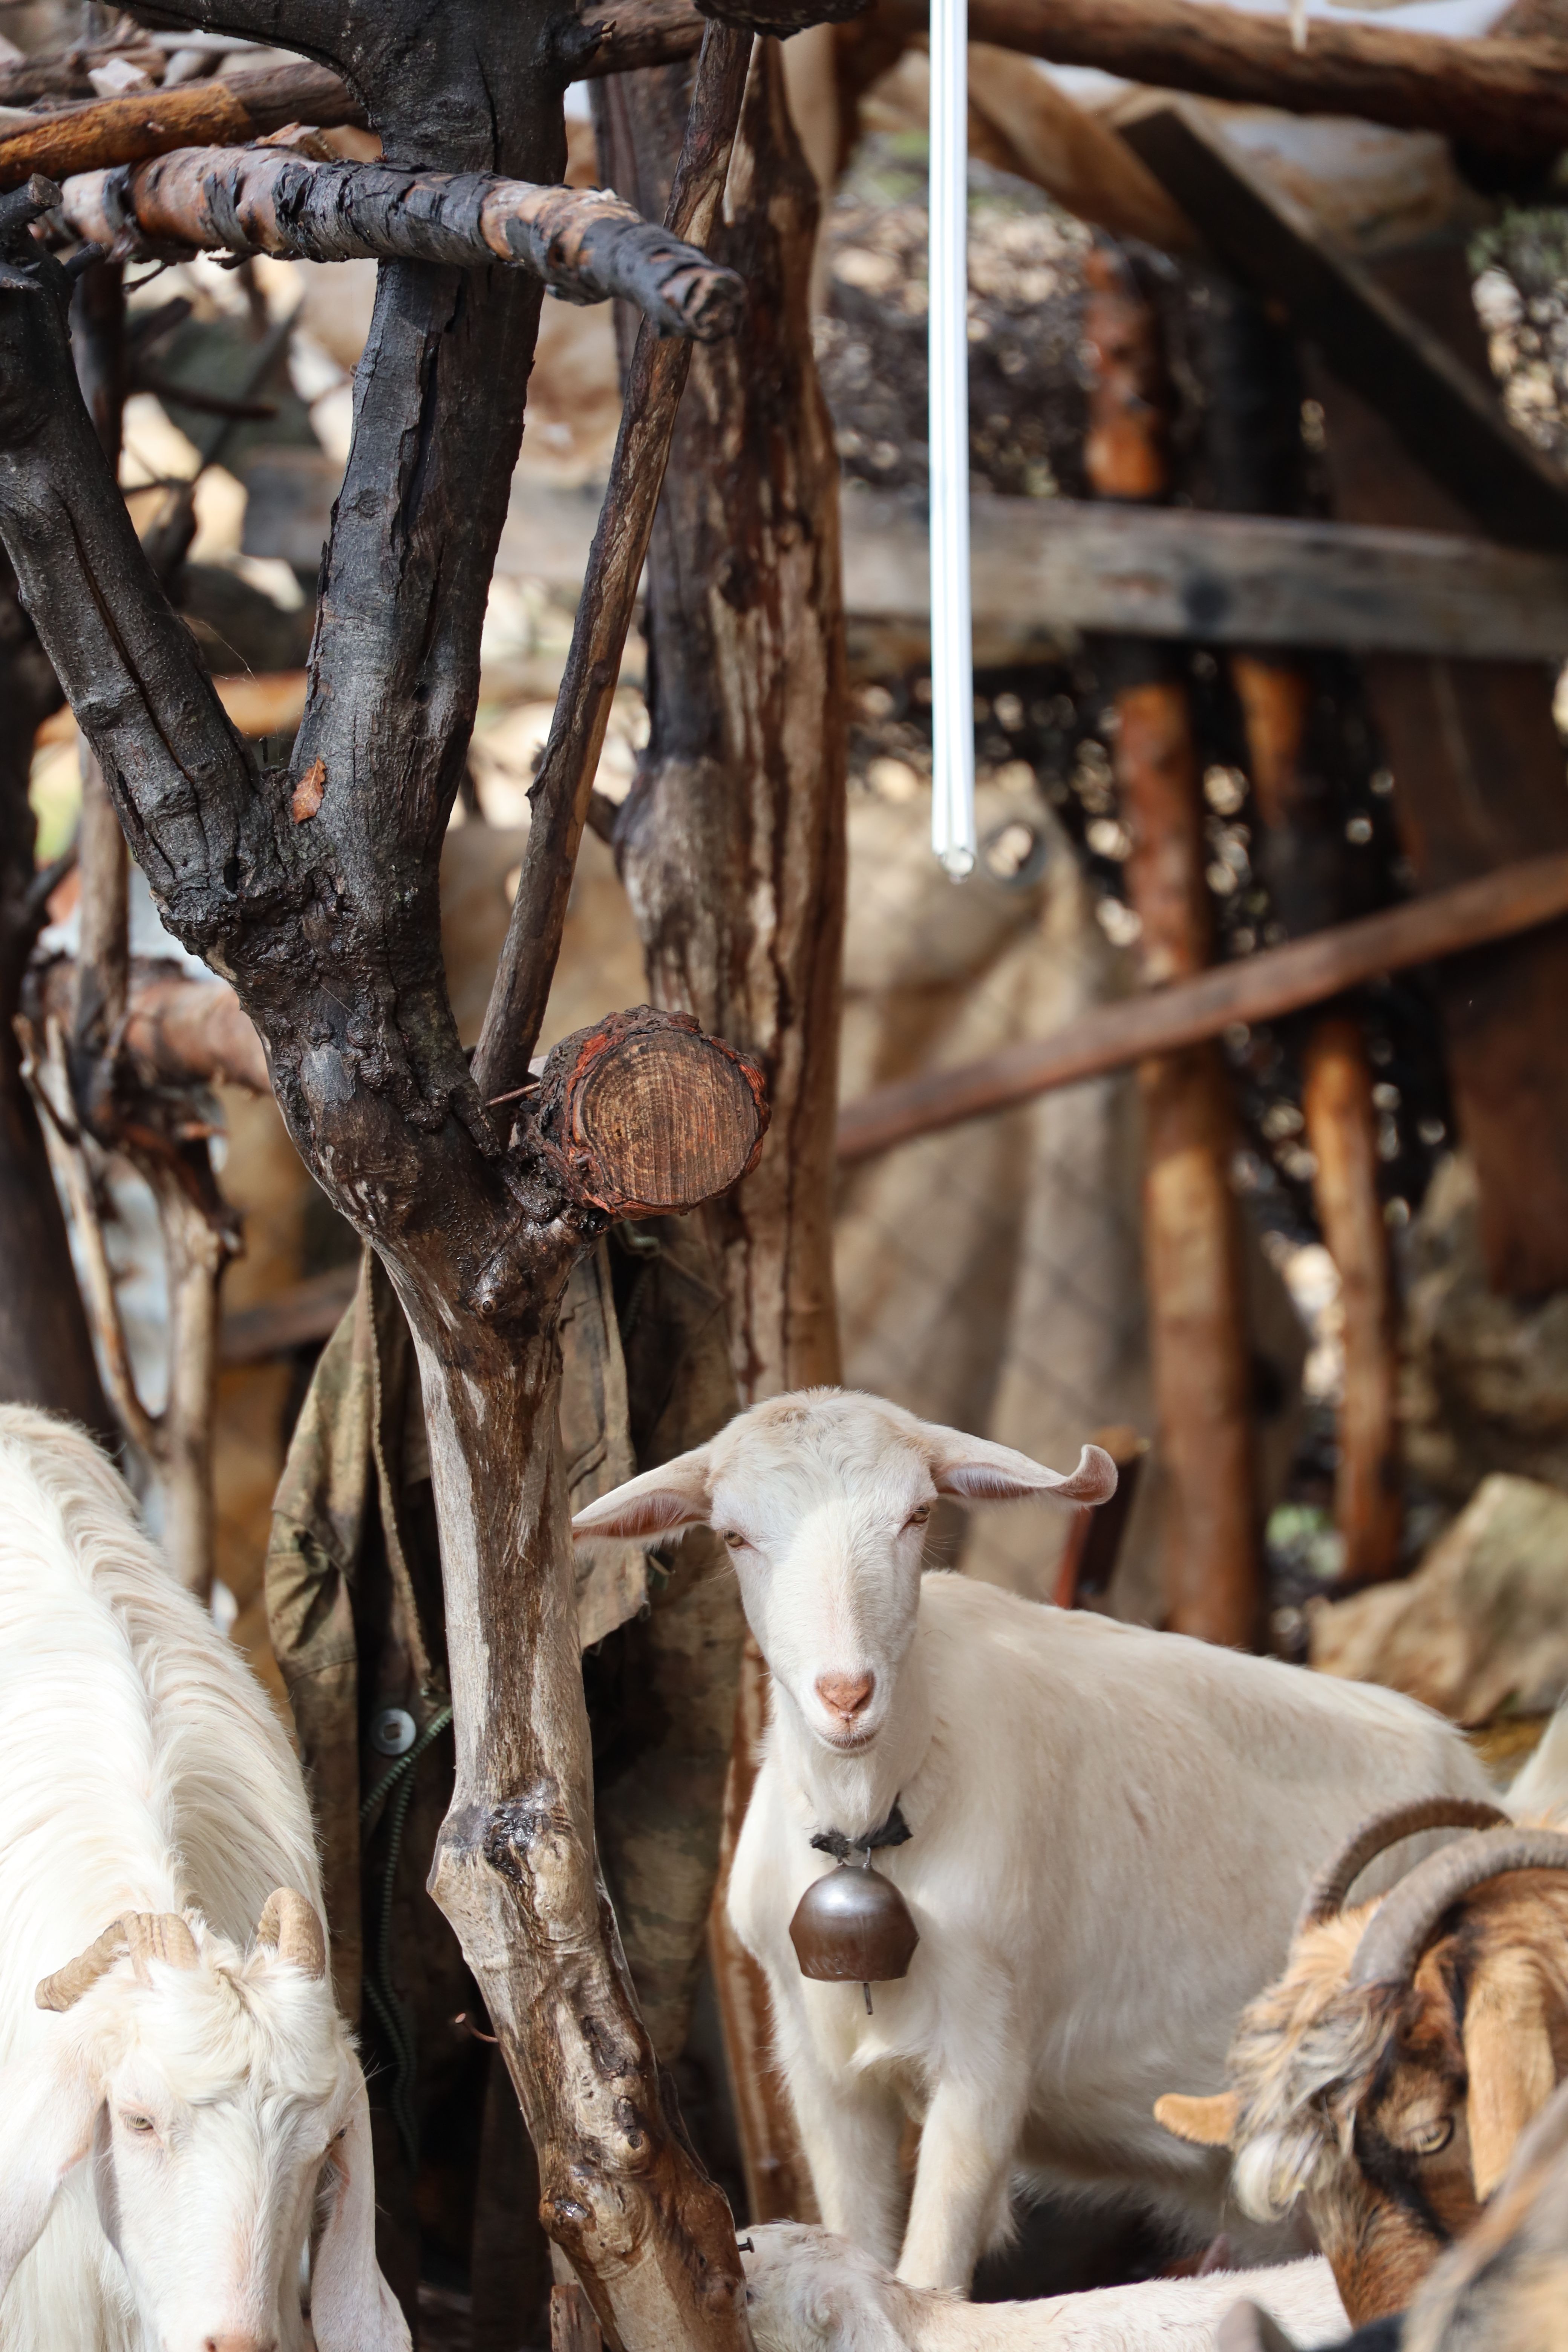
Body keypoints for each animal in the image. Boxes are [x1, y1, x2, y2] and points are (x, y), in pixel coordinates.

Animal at [572, 1387, 1500, 2293]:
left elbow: (930, 2279)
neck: (875, 1818)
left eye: (916, 1514)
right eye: (734, 1535)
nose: (846, 1695)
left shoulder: (989, 2054)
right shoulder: (817, 2066)